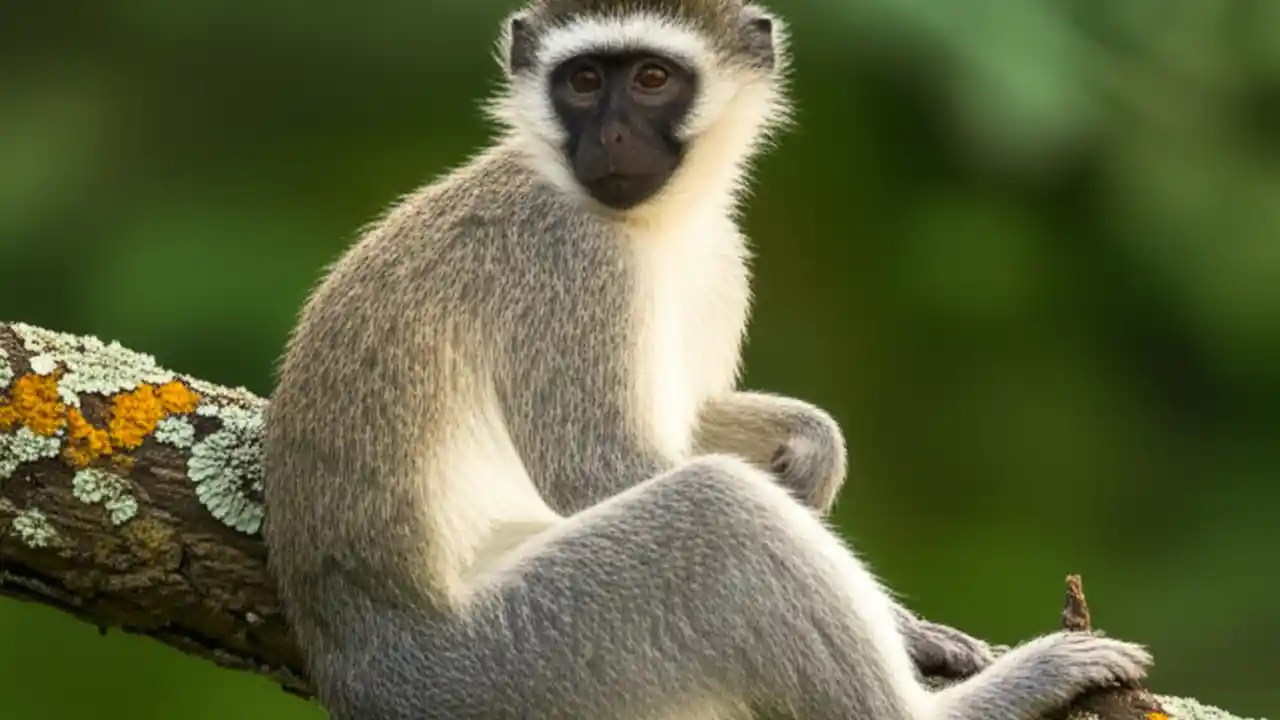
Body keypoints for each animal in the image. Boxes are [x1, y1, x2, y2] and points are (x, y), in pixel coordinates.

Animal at [262, 1, 1153, 718]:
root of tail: (360, 673)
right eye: (584, 81)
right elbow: (597, 469)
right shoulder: (567, 262)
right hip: (518, 663)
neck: (656, 227)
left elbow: (689, 421)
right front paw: (904, 627)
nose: (613, 135)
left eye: (653, 78)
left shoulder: (724, 254)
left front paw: (813, 446)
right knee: (716, 515)